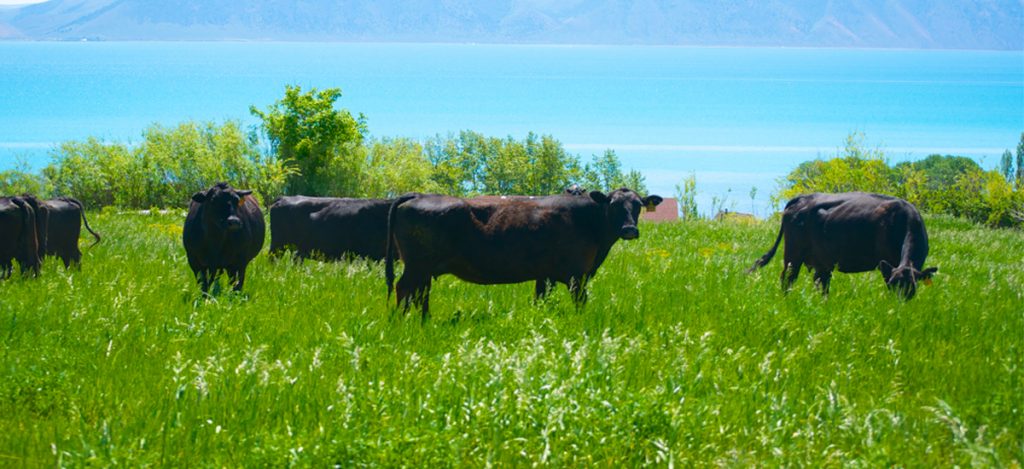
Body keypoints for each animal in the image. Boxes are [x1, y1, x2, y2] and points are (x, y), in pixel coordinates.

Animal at [385, 188, 663, 319]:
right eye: (613, 205)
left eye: (638, 205)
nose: (629, 229)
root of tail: (419, 194)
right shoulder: (577, 275)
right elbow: (580, 302)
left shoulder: (545, 275)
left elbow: (540, 299)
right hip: (416, 266)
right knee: (404, 289)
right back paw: (402, 321)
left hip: (424, 268)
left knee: (420, 294)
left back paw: (425, 320)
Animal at [748, 192, 937, 299]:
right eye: (892, 284)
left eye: (912, 287)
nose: (899, 303)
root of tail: (802, 198)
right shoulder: (887, 265)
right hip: (793, 253)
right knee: (788, 278)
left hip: (822, 261)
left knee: (821, 283)